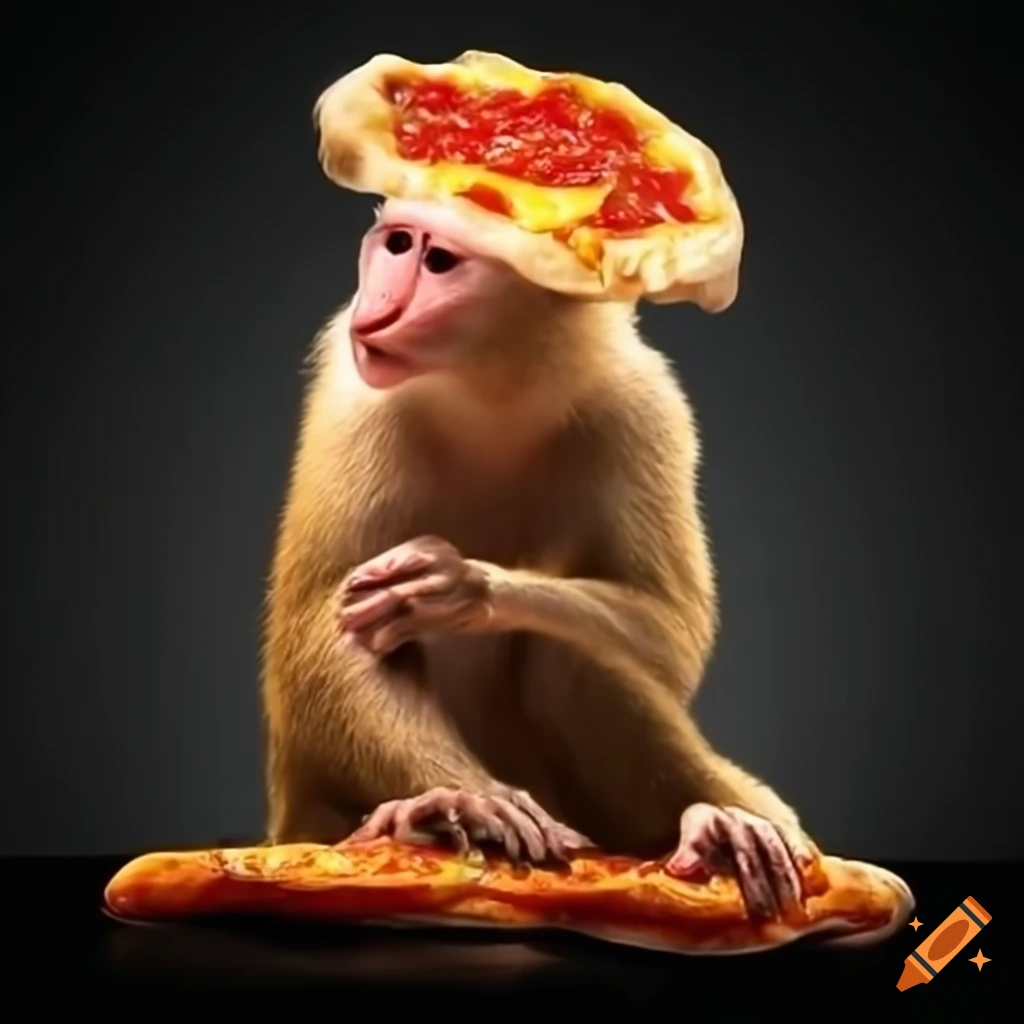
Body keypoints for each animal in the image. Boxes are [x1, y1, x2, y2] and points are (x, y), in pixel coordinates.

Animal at [261, 198, 819, 921]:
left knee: (564, 649)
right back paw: (415, 820)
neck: (491, 381)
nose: (377, 305)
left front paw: (463, 589)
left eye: (440, 261)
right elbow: (322, 631)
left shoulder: (644, 404)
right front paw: (472, 801)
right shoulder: (358, 396)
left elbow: (671, 634)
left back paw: (715, 824)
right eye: (398, 245)